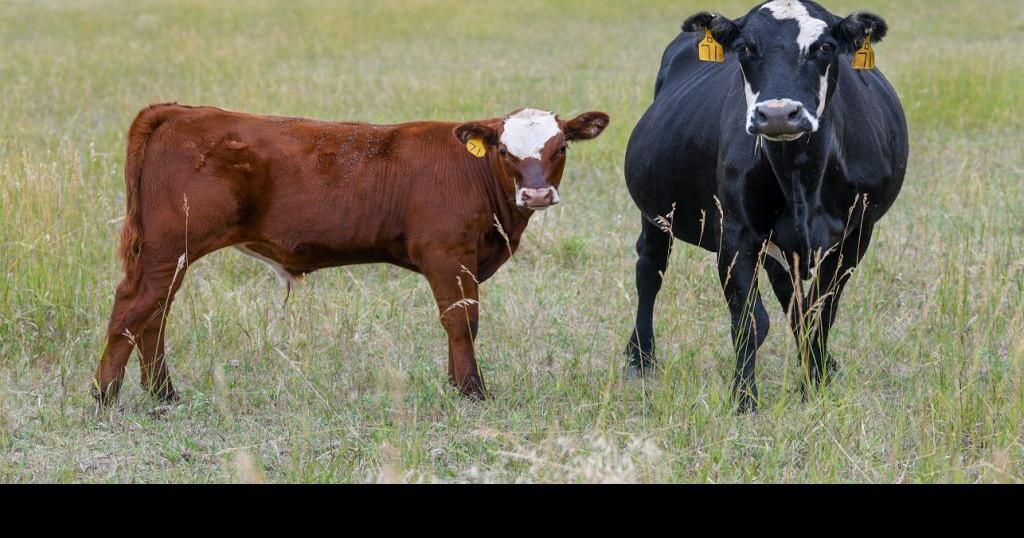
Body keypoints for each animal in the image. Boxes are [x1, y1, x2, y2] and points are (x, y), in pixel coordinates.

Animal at [92, 104, 609, 404]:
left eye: (561, 148)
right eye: (504, 151)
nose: (537, 195)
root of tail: (180, 110)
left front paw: (456, 384)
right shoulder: (448, 253)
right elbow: (462, 322)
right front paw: (472, 392)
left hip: (168, 254)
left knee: (154, 315)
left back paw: (162, 395)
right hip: (167, 248)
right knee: (133, 308)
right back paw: (104, 396)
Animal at [623, 0, 908, 411]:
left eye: (824, 47)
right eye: (745, 47)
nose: (776, 114)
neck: (800, 177)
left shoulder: (857, 235)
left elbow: (819, 313)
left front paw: (814, 386)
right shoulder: (734, 233)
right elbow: (750, 321)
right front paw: (744, 399)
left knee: (794, 302)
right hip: (657, 212)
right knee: (649, 270)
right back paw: (640, 359)